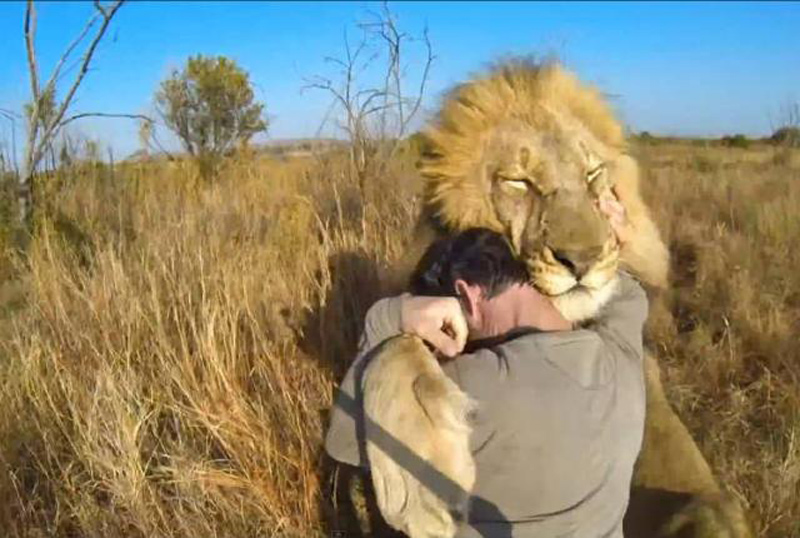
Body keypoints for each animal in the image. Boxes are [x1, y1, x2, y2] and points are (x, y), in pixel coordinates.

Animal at [359, 60, 753, 538]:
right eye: (519, 181)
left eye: (592, 176)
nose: (582, 259)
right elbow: (395, 345)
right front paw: (418, 485)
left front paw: (420, 491)